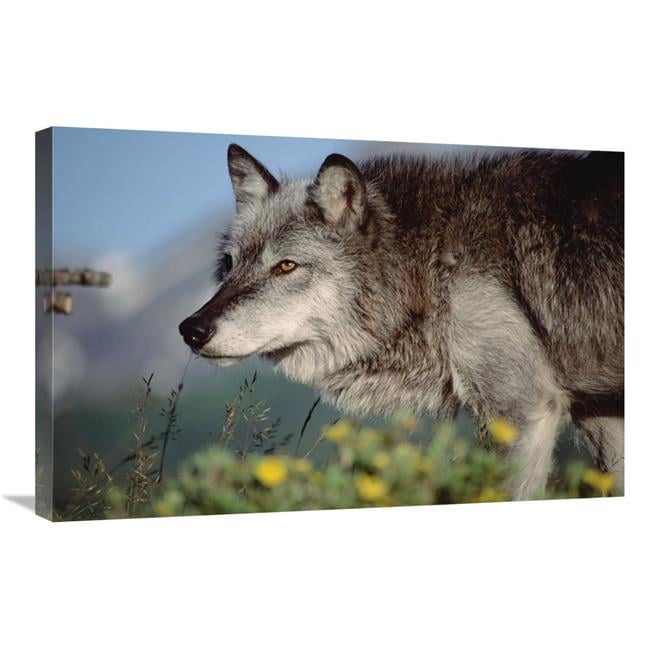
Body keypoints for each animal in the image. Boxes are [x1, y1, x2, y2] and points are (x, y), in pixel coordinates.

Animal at [179, 143, 624, 500]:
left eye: (286, 266)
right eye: (229, 265)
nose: (191, 330)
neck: (431, 260)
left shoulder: (522, 411)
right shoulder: (601, 415)